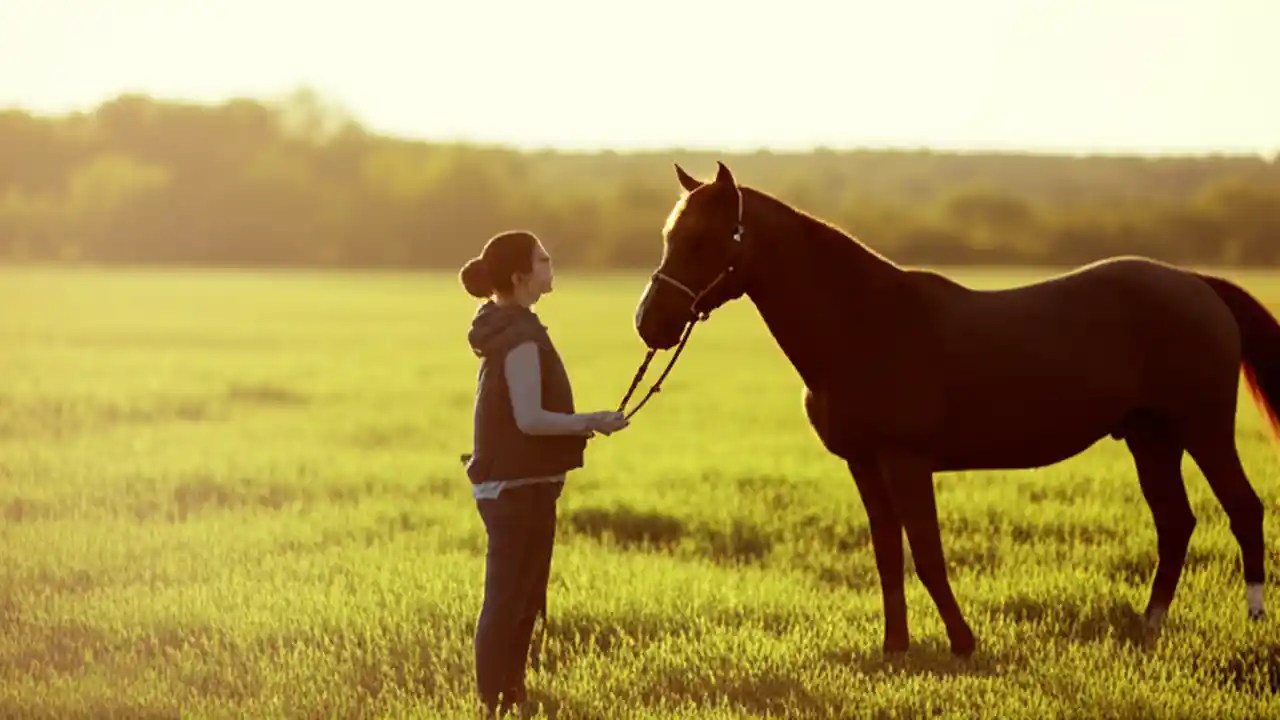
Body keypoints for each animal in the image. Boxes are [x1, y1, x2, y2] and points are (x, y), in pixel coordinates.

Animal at [632, 161, 1280, 658]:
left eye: (704, 239)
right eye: (668, 236)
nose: (649, 324)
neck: (864, 323)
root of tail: (1196, 284)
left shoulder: (906, 461)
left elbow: (927, 555)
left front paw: (963, 643)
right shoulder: (865, 466)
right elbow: (888, 557)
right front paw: (895, 649)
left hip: (1203, 430)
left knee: (1242, 509)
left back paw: (1251, 618)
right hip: (1151, 438)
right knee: (1176, 523)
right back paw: (1150, 625)